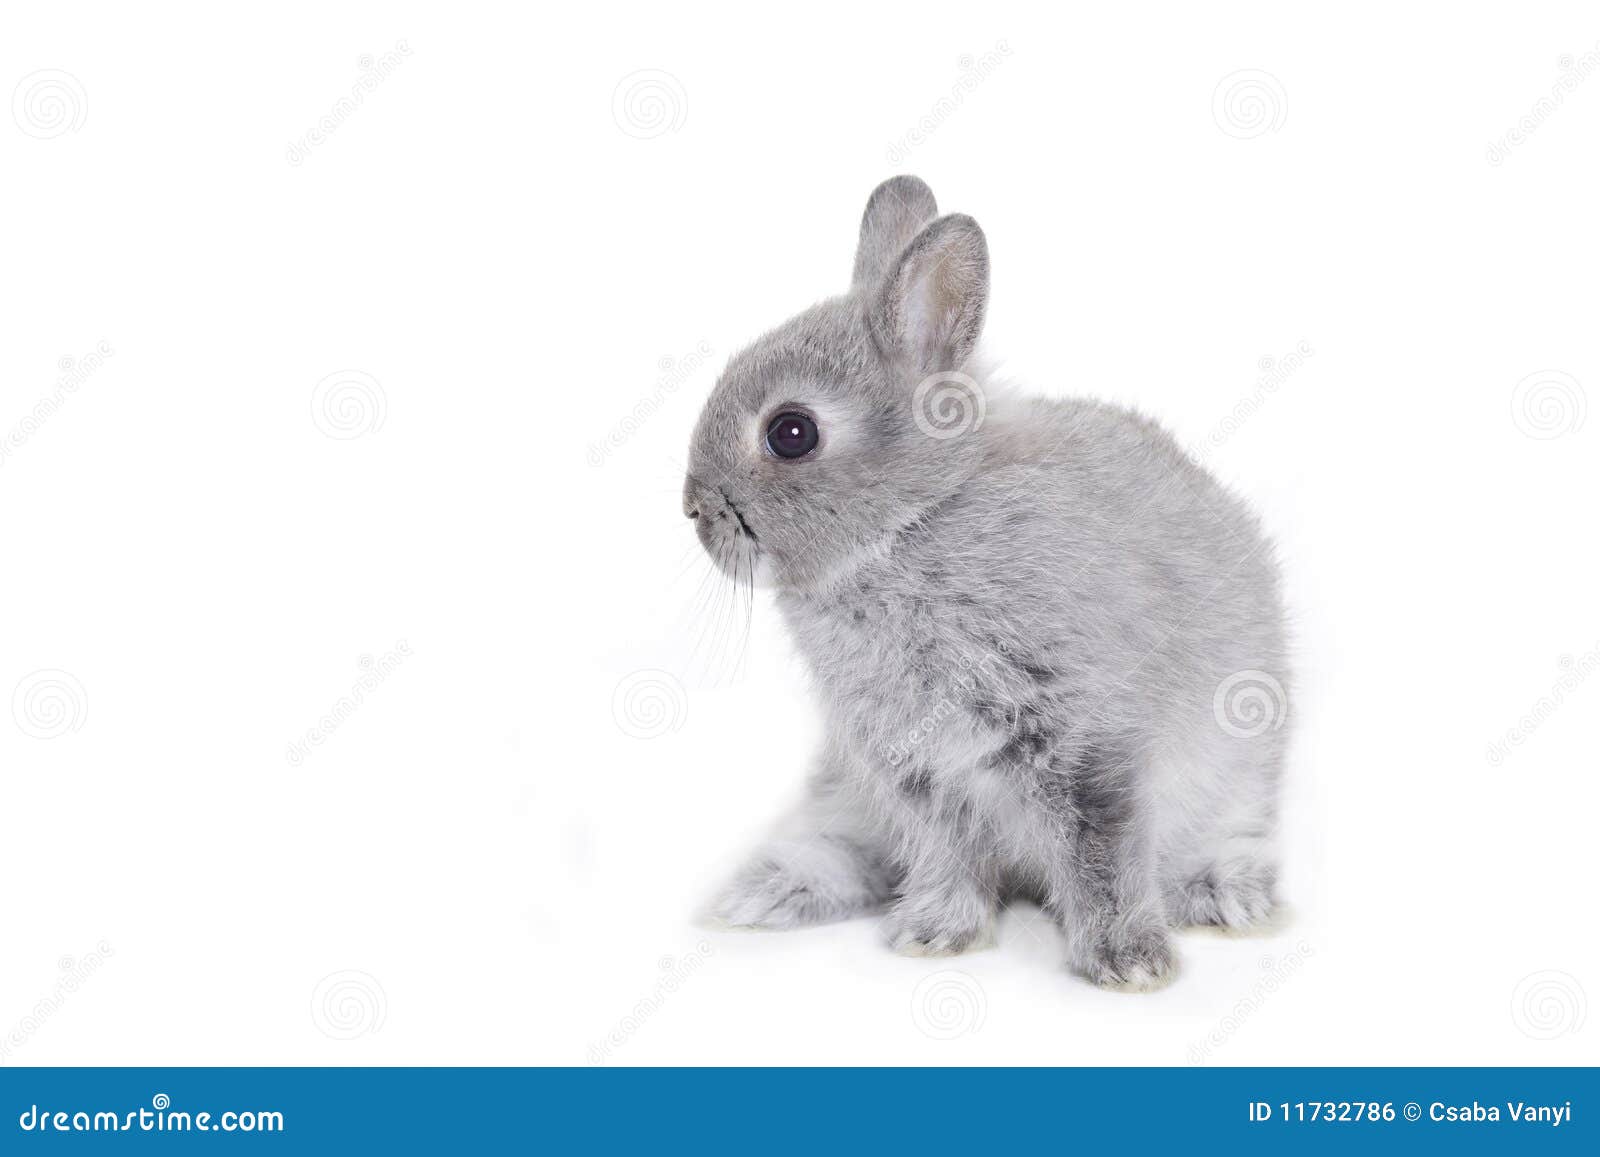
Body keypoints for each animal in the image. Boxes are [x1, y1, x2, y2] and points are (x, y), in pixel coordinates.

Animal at [683, 176, 1288, 989]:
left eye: (791, 432)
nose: (692, 508)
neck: (912, 523)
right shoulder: (914, 772)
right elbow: (947, 857)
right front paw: (936, 936)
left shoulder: (1088, 739)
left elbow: (1103, 850)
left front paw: (1131, 965)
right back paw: (764, 894)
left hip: (1238, 778)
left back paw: (1229, 895)